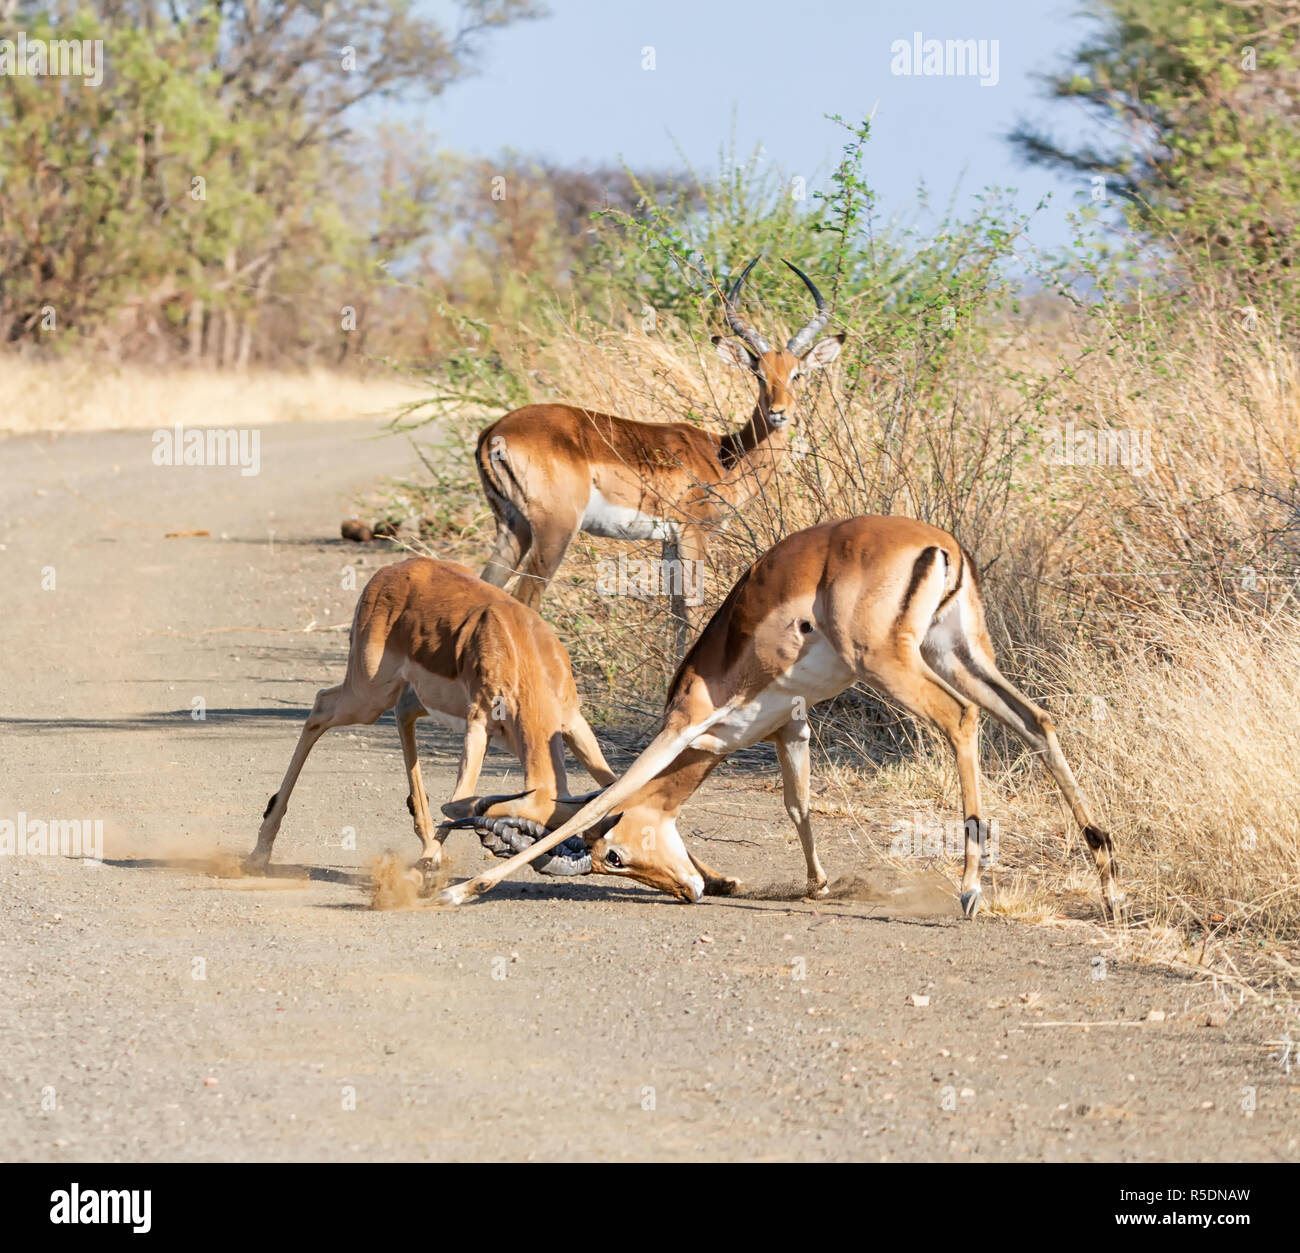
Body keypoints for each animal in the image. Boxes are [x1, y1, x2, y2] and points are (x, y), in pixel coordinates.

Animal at [244, 557, 699, 889]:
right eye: (613, 855)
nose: (688, 888)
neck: (524, 653)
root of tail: (389, 571)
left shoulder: (572, 721)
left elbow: (613, 785)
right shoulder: (479, 722)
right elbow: (462, 795)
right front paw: (423, 867)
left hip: (413, 698)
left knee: (402, 713)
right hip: (368, 695)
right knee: (322, 706)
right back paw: (259, 853)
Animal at [434, 516, 1121, 921]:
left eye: (614, 858)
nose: (691, 891)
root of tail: (942, 545)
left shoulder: (682, 731)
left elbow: (603, 800)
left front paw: (462, 889)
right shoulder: (789, 723)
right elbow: (799, 804)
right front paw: (818, 887)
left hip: (893, 664)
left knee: (962, 719)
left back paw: (971, 887)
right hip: (958, 653)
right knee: (1037, 720)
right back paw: (1109, 880)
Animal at [476, 257, 844, 643]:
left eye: (797, 374)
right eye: (760, 374)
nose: (778, 412)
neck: (726, 454)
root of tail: (496, 433)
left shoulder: (669, 541)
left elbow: (676, 612)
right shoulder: (694, 533)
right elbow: (693, 610)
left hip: (512, 528)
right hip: (554, 532)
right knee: (525, 600)